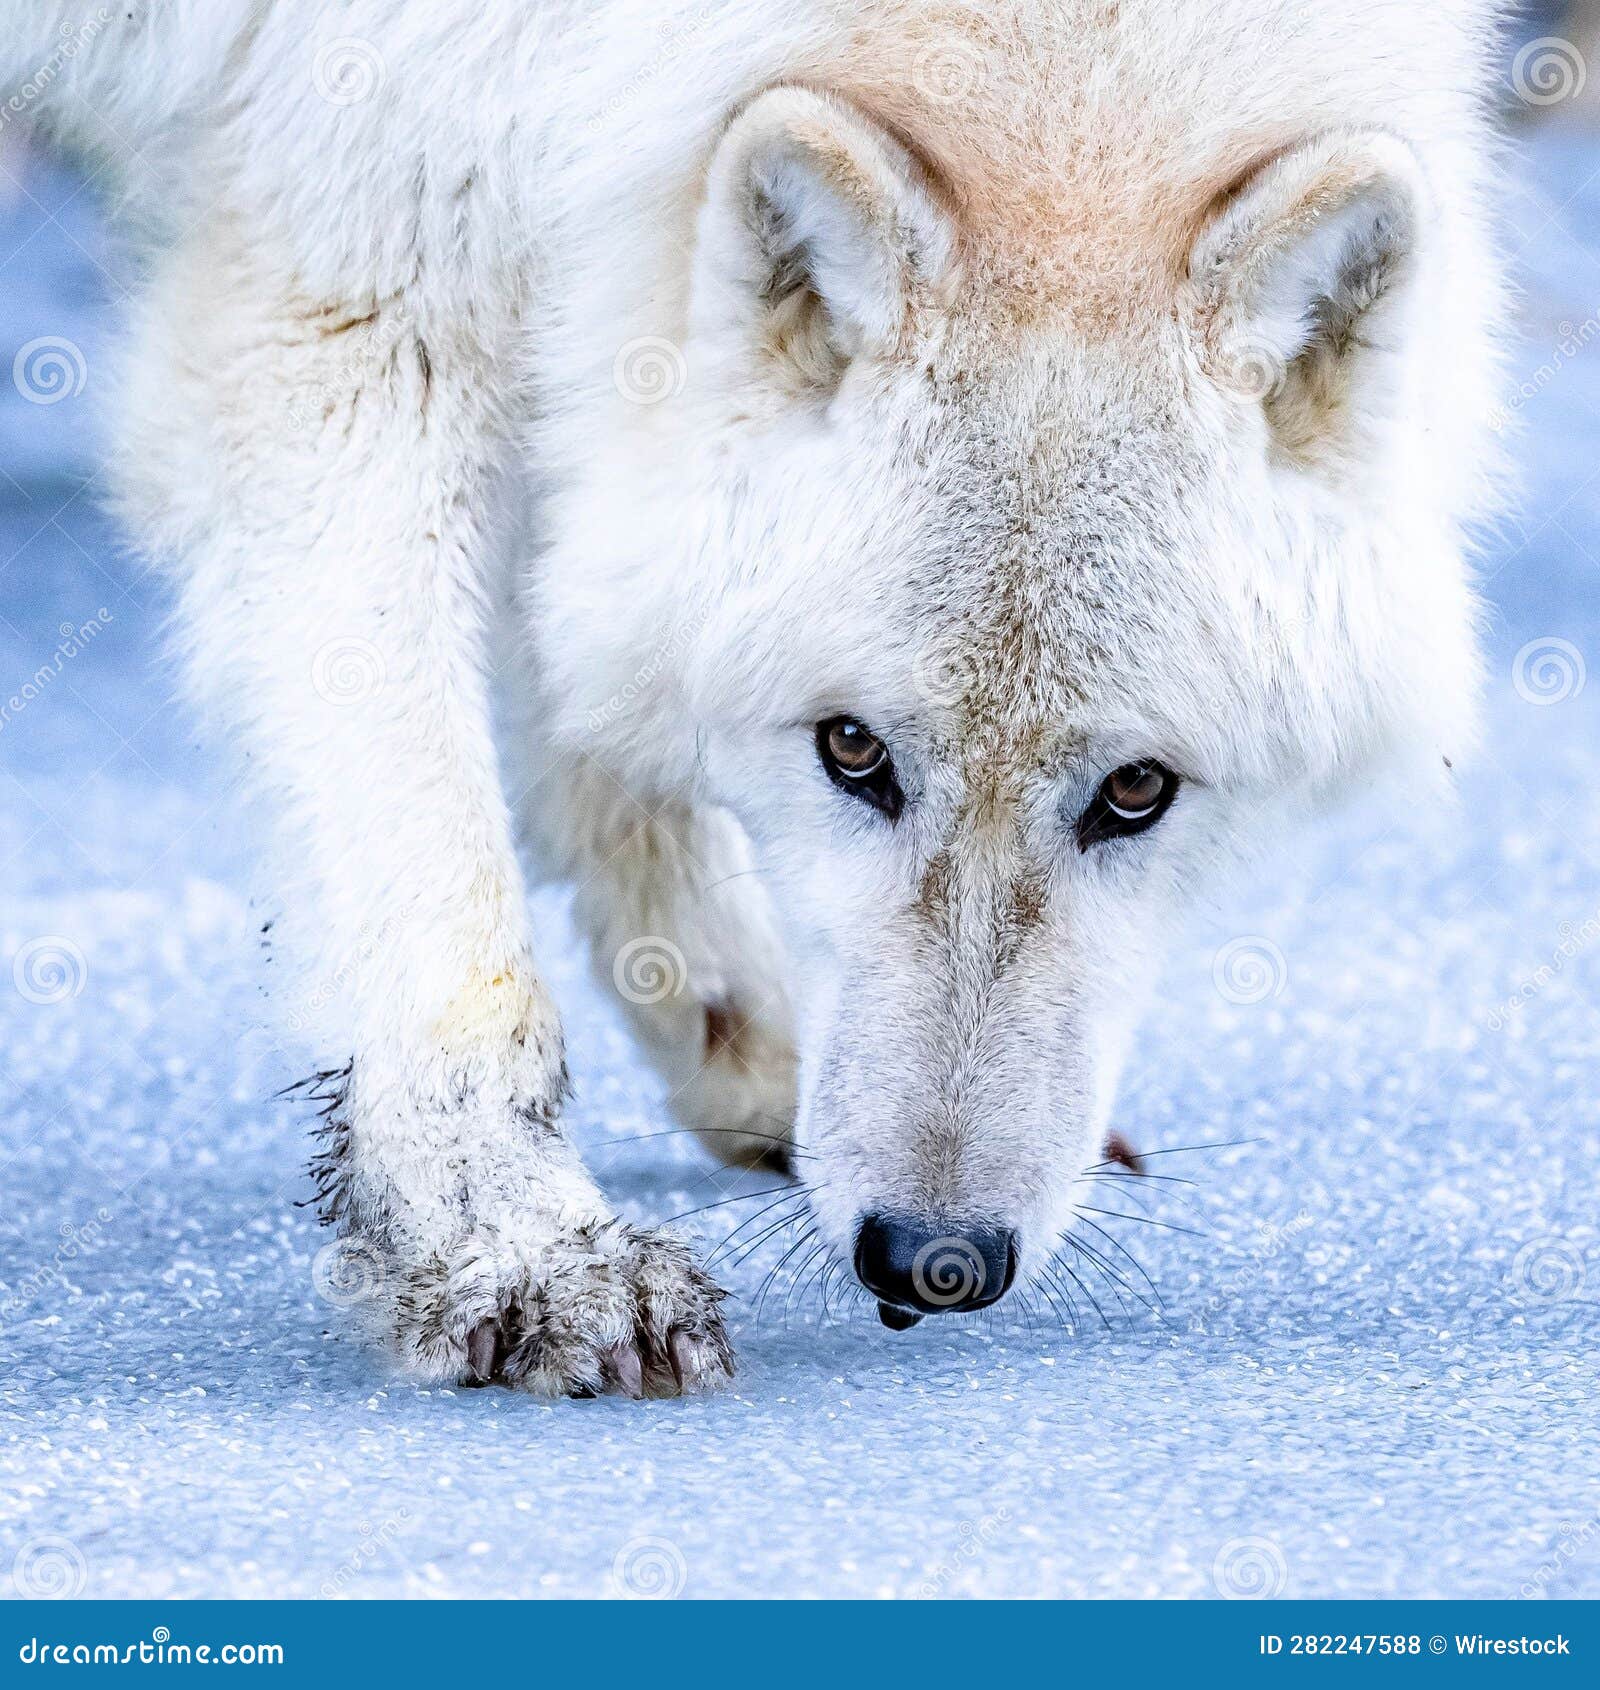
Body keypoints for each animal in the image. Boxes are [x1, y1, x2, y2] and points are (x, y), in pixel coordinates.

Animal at [7, 0, 1504, 1395]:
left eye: (1137, 790)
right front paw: (520, 1244)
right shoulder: (355, 292)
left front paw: (745, 1045)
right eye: (851, 750)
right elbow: (446, 898)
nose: (932, 1259)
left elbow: (594, 674)